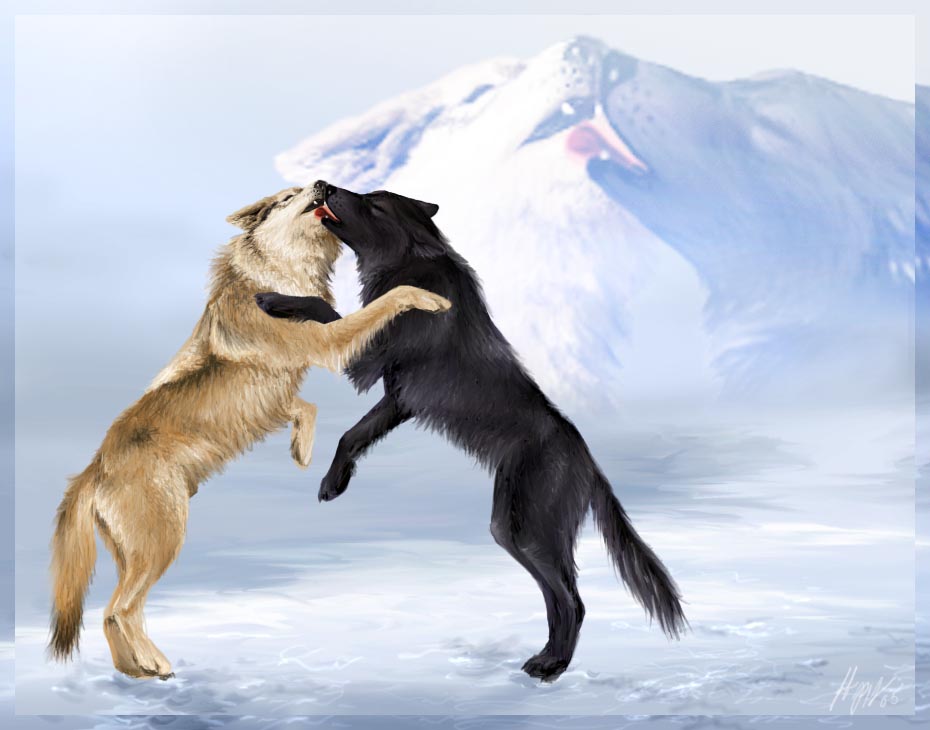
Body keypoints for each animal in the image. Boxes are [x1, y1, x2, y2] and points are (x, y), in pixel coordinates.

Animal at [48, 181, 451, 680]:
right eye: (288, 197)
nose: (322, 184)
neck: (276, 276)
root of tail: (92, 471)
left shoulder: (281, 393)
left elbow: (305, 407)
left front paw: (301, 451)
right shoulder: (327, 345)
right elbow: (382, 304)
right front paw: (427, 296)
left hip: (140, 551)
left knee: (118, 612)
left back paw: (138, 670)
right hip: (163, 541)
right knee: (117, 610)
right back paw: (152, 664)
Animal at [257, 181, 688, 682]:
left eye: (372, 202)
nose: (324, 186)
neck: (413, 261)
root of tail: (592, 465)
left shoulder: (368, 363)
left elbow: (325, 311)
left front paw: (272, 300)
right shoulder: (399, 400)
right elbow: (353, 435)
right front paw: (335, 482)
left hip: (525, 529)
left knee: (573, 601)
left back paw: (552, 666)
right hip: (514, 528)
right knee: (558, 599)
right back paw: (547, 658)